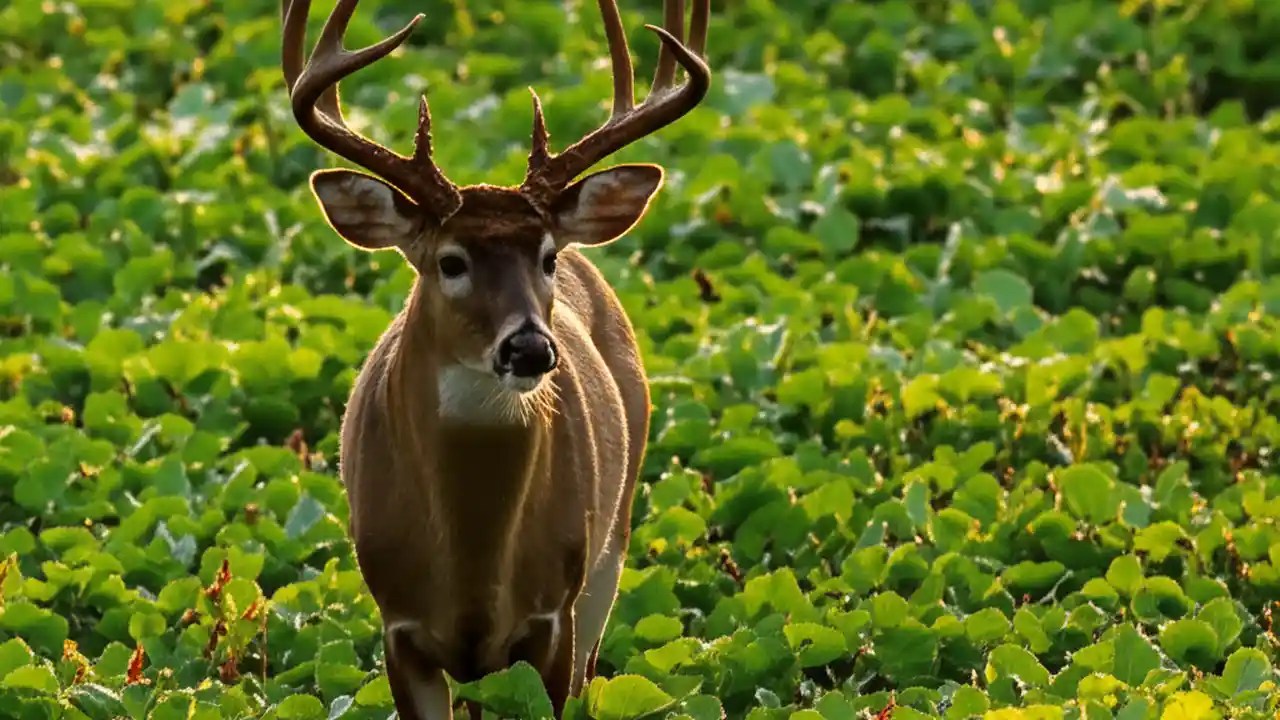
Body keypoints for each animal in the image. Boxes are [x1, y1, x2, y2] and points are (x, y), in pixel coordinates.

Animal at [279, 0, 711, 717]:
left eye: (546, 257)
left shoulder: (551, 620)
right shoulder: (399, 627)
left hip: (612, 545)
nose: (531, 346)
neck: (472, 570)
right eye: (450, 262)